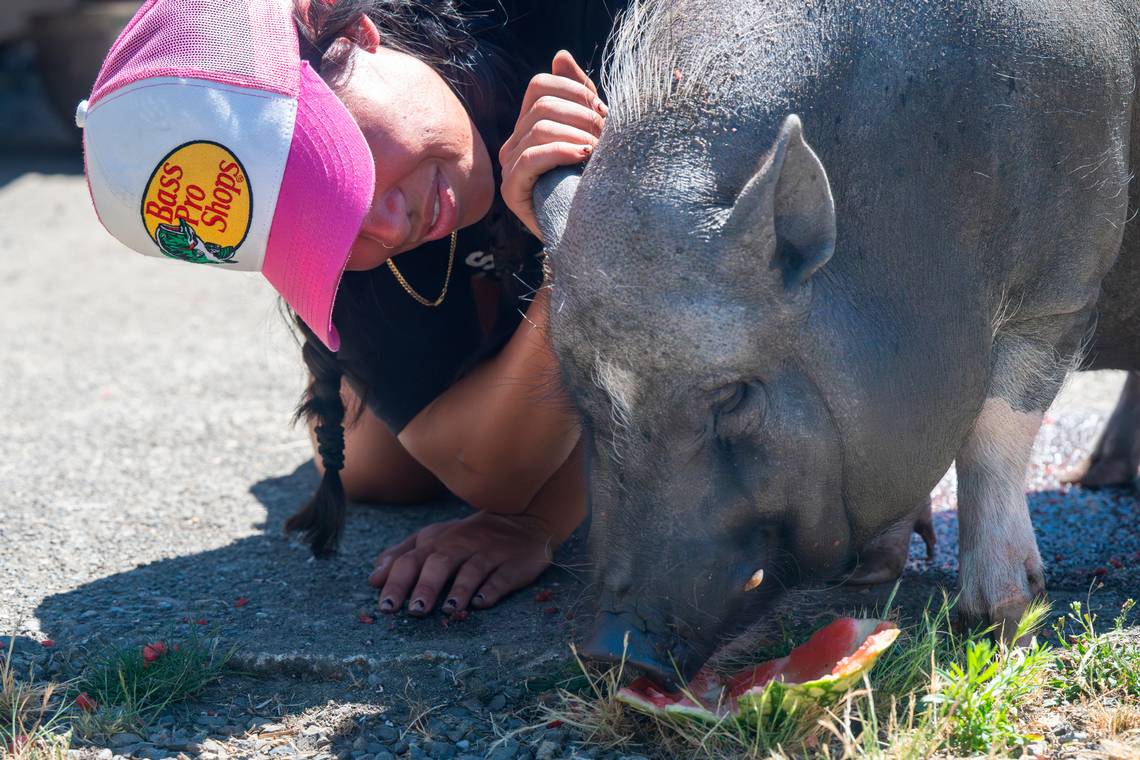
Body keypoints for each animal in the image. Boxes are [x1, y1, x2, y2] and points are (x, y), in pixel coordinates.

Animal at [532, 0, 1140, 687]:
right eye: (583, 398)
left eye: (733, 395)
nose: (611, 647)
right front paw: (873, 574)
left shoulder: (1064, 287)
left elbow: (993, 435)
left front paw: (1000, 623)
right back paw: (1098, 477)